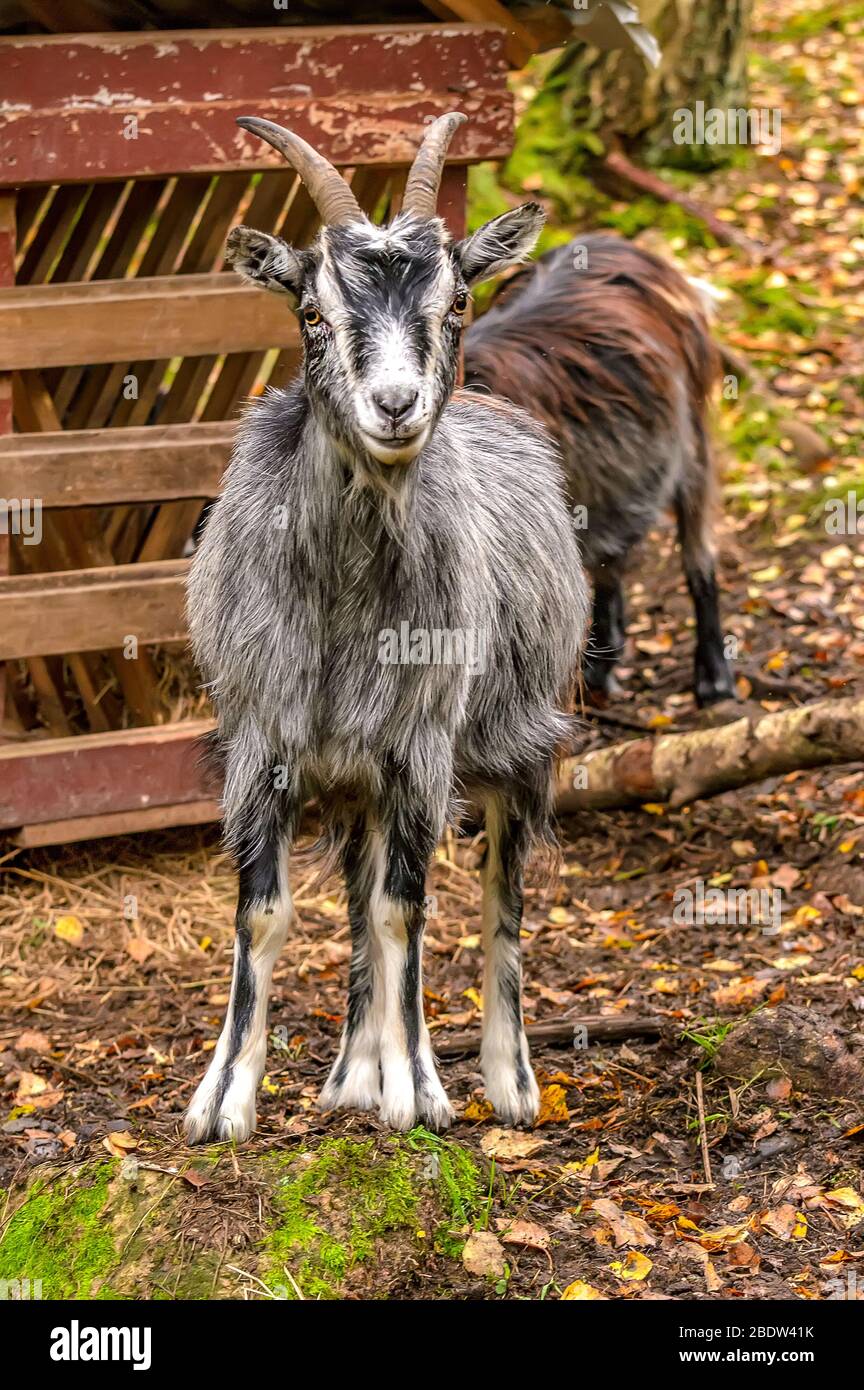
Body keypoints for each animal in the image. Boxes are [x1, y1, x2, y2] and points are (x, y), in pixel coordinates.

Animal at [183, 114, 588, 1143]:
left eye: (456, 303)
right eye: (312, 313)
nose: (396, 405)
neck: (342, 605)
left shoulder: (420, 743)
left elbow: (412, 911)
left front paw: (419, 1096)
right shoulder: (266, 740)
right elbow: (267, 914)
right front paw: (223, 1100)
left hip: (517, 740)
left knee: (497, 901)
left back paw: (503, 1082)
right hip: (355, 782)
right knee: (365, 900)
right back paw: (349, 1076)